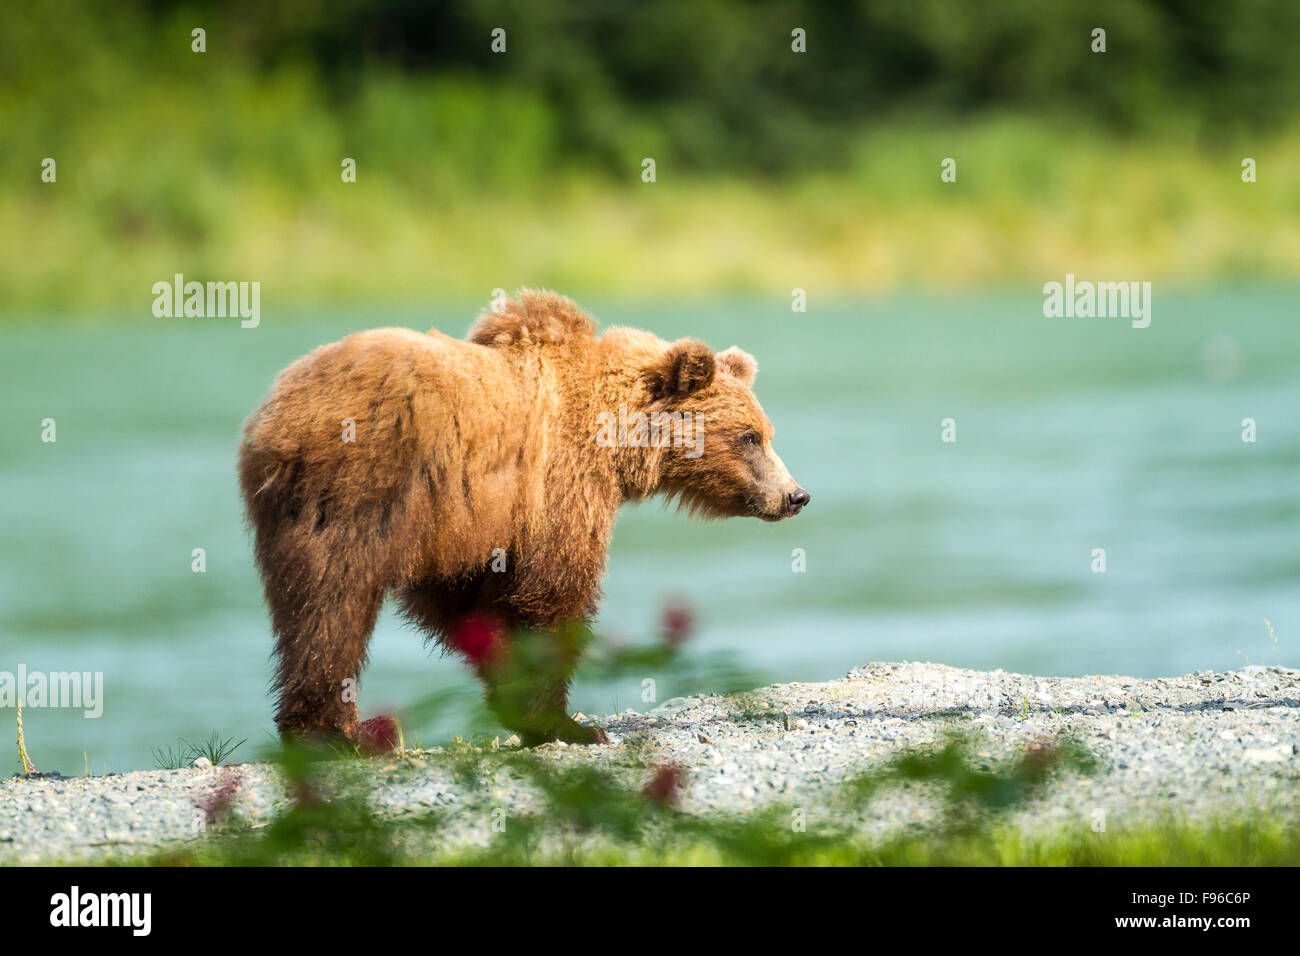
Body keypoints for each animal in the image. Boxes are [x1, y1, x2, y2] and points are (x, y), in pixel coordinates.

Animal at [238, 290, 809, 747]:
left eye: (765, 432)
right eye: (749, 437)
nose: (795, 495)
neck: (616, 437)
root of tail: (272, 418)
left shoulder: (469, 525)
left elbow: (465, 603)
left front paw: (516, 699)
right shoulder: (554, 483)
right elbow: (551, 593)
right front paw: (568, 723)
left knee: (305, 607)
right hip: (360, 487)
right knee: (335, 601)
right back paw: (344, 734)